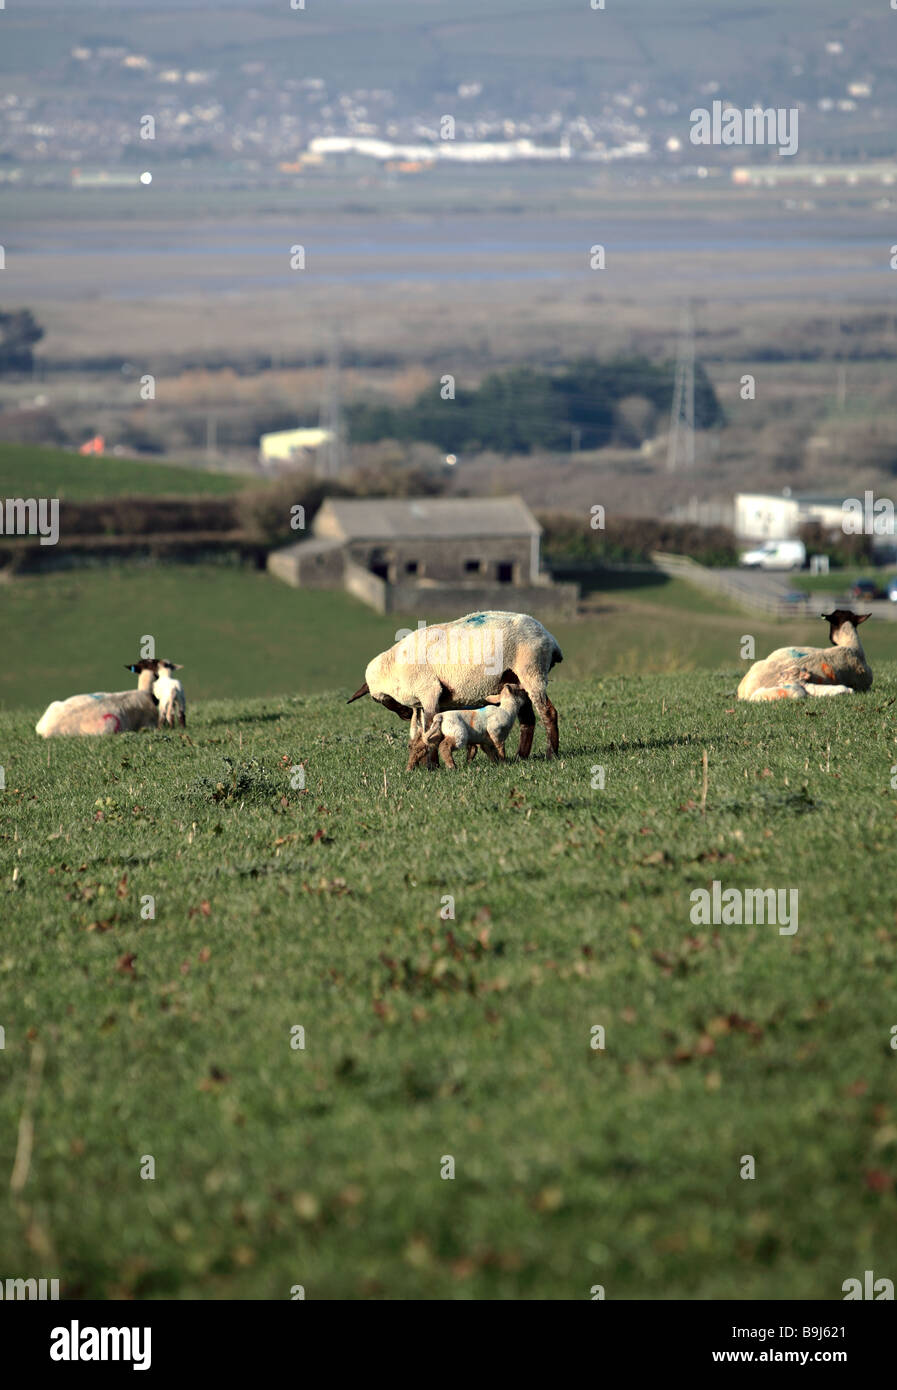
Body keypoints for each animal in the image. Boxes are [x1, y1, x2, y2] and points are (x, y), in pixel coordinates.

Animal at [347, 610, 562, 765]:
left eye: (380, 699)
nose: (406, 715)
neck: (393, 669)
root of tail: (550, 639)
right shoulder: (423, 701)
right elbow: (422, 733)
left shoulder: (429, 691)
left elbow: (430, 730)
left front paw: (432, 766)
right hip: (517, 681)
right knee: (528, 720)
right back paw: (521, 756)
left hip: (532, 670)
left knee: (548, 712)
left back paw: (551, 754)